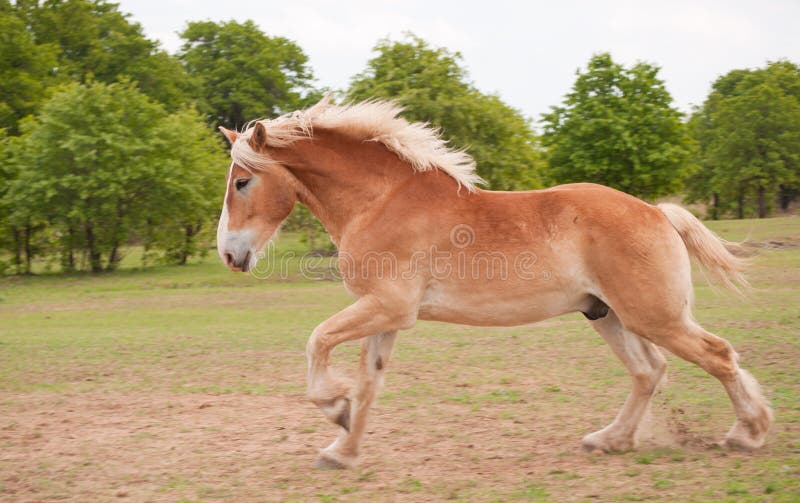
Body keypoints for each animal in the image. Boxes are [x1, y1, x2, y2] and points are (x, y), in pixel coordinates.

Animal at [215, 96, 773, 469]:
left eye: (242, 181)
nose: (230, 254)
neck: (381, 200)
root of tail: (657, 213)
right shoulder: (384, 315)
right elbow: (369, 382)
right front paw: (343, 448)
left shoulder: (389, 308)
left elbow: (317, 342)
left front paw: (334, 409)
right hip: (606, 314)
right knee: (649, 372)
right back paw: (609, 440)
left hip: (654, 317)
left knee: (717, 355)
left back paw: (748, 434)